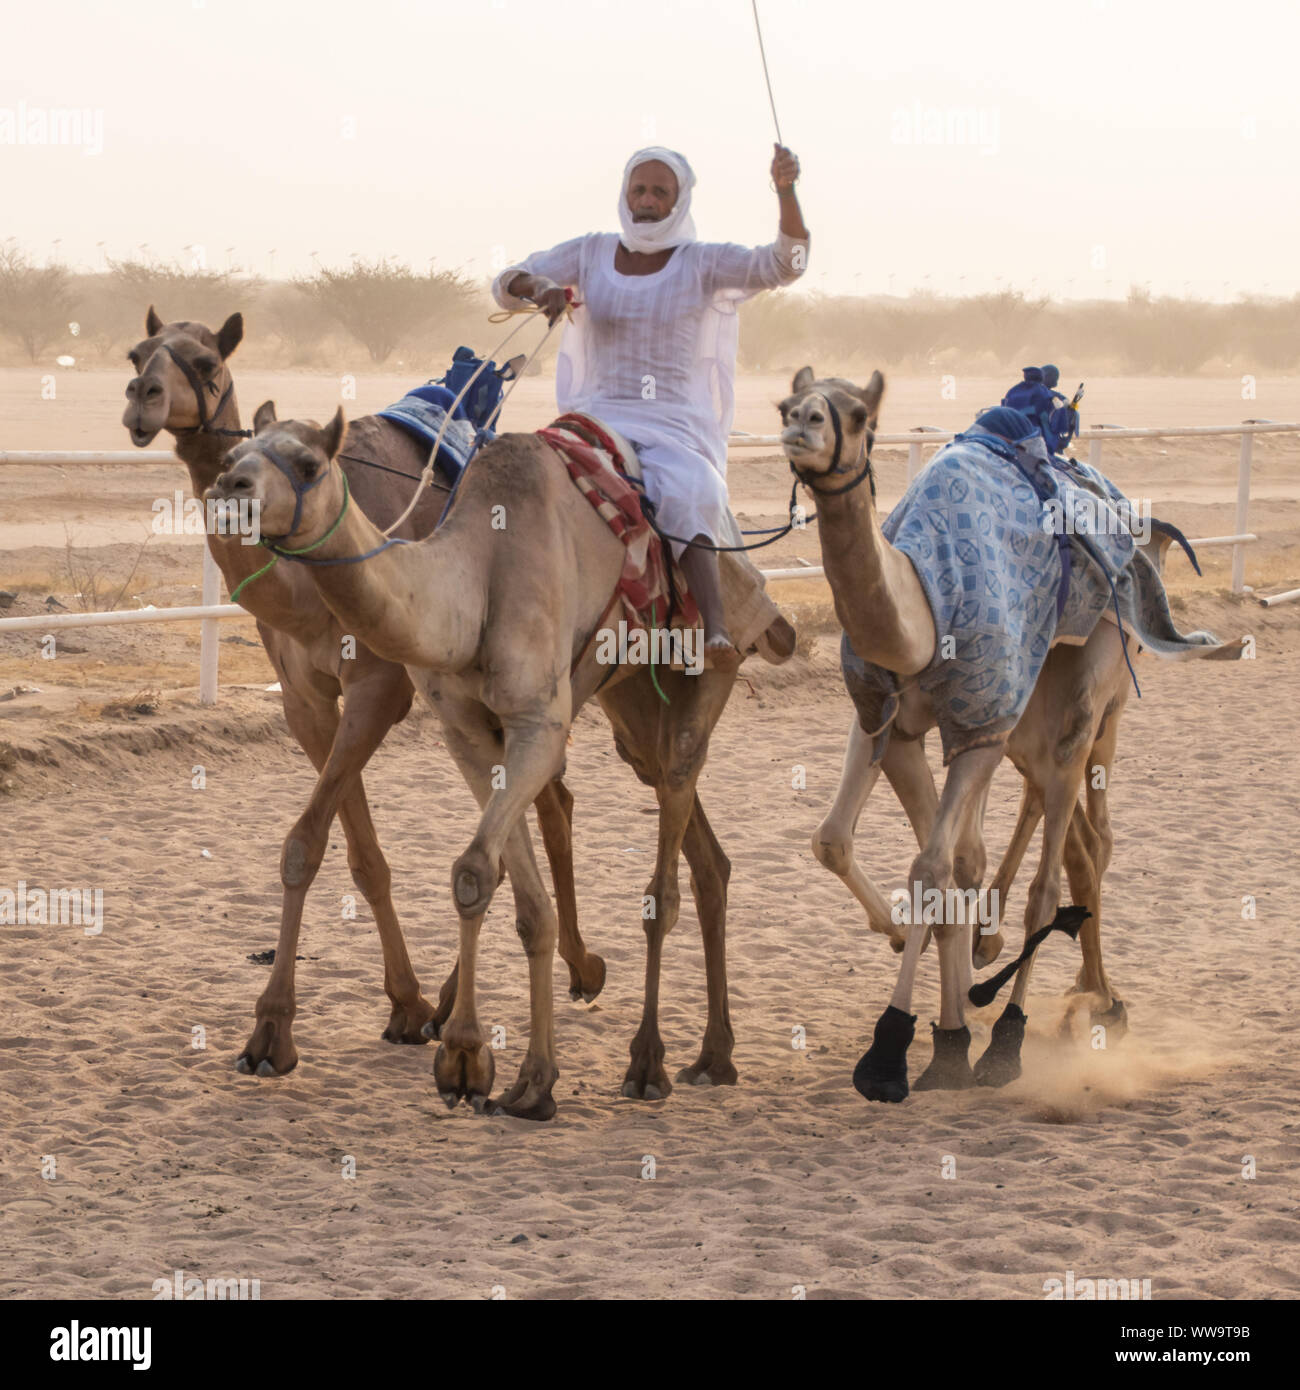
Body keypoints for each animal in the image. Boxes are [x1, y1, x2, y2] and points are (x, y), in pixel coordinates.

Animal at [121, 309, 604, 1078]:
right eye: (137, 353)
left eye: (204, 360)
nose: (142, 397)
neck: (301, 591)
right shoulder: (306, 702)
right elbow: (346, 851)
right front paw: (397, 1006)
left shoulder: (380, 688)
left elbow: (314, 837)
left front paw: (277, 1029)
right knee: (548, 799)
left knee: (551, 798)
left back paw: (565, 973)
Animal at [210, 404, 747, 1120]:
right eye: (235, 451)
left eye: (308, 464)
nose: (228, 486)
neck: (475, 583)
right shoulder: (467, 733)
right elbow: (502, 888)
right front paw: (503, 1069)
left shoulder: (536, 726)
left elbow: (475, 869)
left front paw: (471, 1058)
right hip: (631, 703)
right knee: (699, 847)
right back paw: (713, 1055)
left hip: (703, 676)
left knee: (668, 858)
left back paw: (650, 1063)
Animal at [779, 368, 1171, 1098]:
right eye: (787, 404)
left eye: (858, 413)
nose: (802, 427)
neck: (925, 610)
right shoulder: (890, 720)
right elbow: (846, 842)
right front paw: (944, 1009)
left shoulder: (982, 725)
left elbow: (935, 865)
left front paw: (895, 1051)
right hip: (1030, 721)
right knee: (1063, 837)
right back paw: (1071, 994)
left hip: (1089, 689)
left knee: (1060, 866)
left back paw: (1016, 1038)